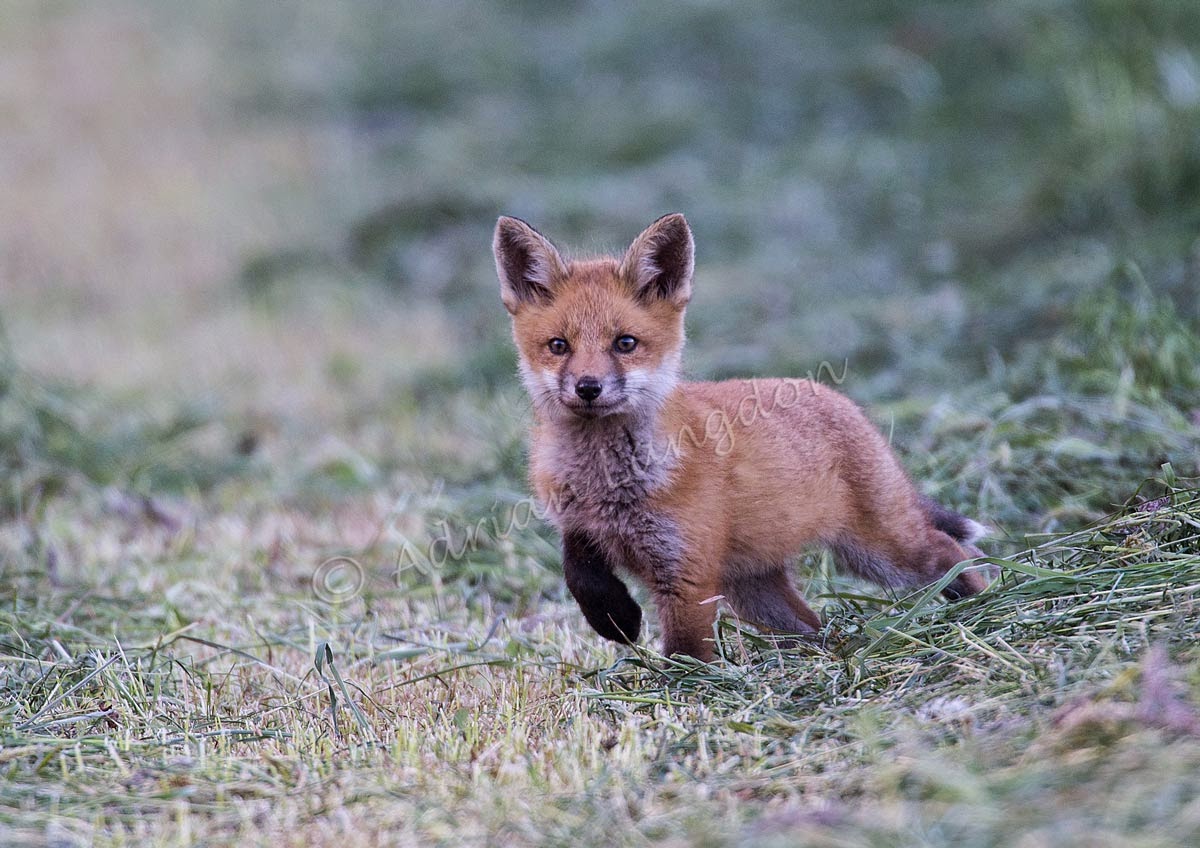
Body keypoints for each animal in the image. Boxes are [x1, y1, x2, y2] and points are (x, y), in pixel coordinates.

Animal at [493, 213, 990, 662]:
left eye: (625, 343)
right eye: (559, 346)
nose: (588, 387)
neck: (607, 485)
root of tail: (837, 397)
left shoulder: (687, 571)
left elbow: (687, 651)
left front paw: (686, 690)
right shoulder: (579, 525)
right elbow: (578, 572)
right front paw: (616, 618)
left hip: (880, 551)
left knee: (948, 552)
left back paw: (985, 608)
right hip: (754, 591)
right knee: (811, 625)